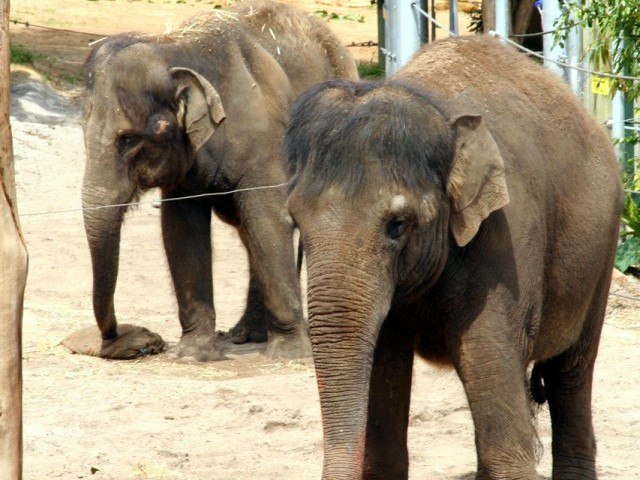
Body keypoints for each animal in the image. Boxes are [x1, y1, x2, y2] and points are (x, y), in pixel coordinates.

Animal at [64, 0, 358, 361]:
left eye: (129, 139)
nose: (125, 338)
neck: (175, 48)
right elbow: (181, 230)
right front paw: (192, 355)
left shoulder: (265, 139)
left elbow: (269, 219)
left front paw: (289, 355)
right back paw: (246, 334)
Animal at [285, 36, 621, 479]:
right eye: (295, 220)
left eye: (397, 225)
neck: (433, 106)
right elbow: (384, 431)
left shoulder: (506, 240)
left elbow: (503, 434)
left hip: (602, 248)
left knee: (570, 374)